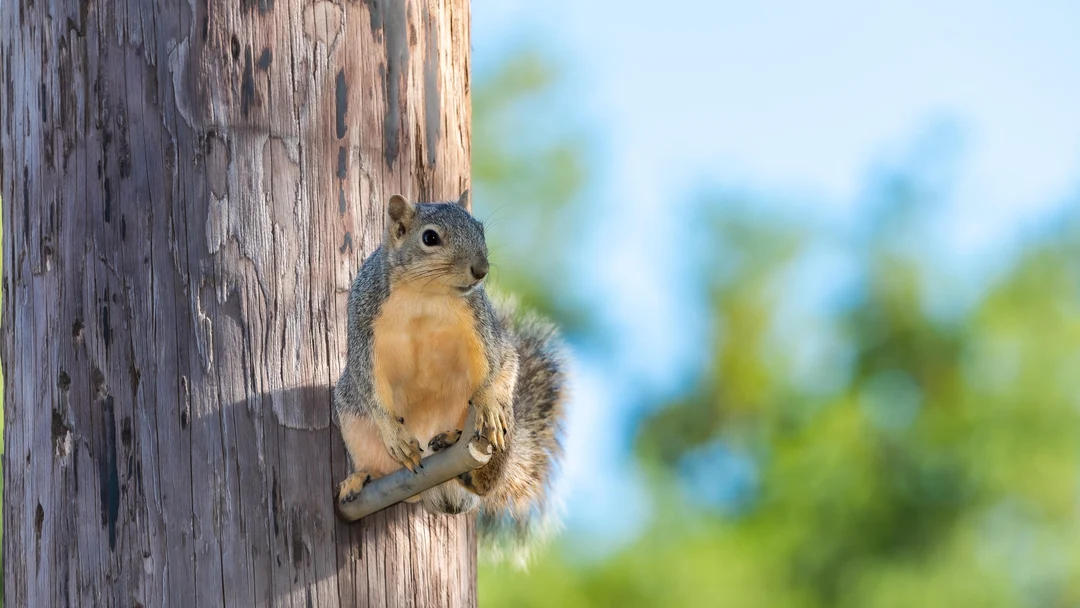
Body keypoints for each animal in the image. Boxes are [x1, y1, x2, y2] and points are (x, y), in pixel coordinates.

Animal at [332, 191, 567, 563]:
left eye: (480, 230)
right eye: (430, 238)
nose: (481, 270)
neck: (426, 296)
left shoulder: (479, 325)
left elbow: (491, 363)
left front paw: (485, 401)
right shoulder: (363, 328)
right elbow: (369, 385)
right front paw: (394, 434)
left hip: (502, 423)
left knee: (487, 475)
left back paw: (456, 444)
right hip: (351, 418)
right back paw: (362, 478)